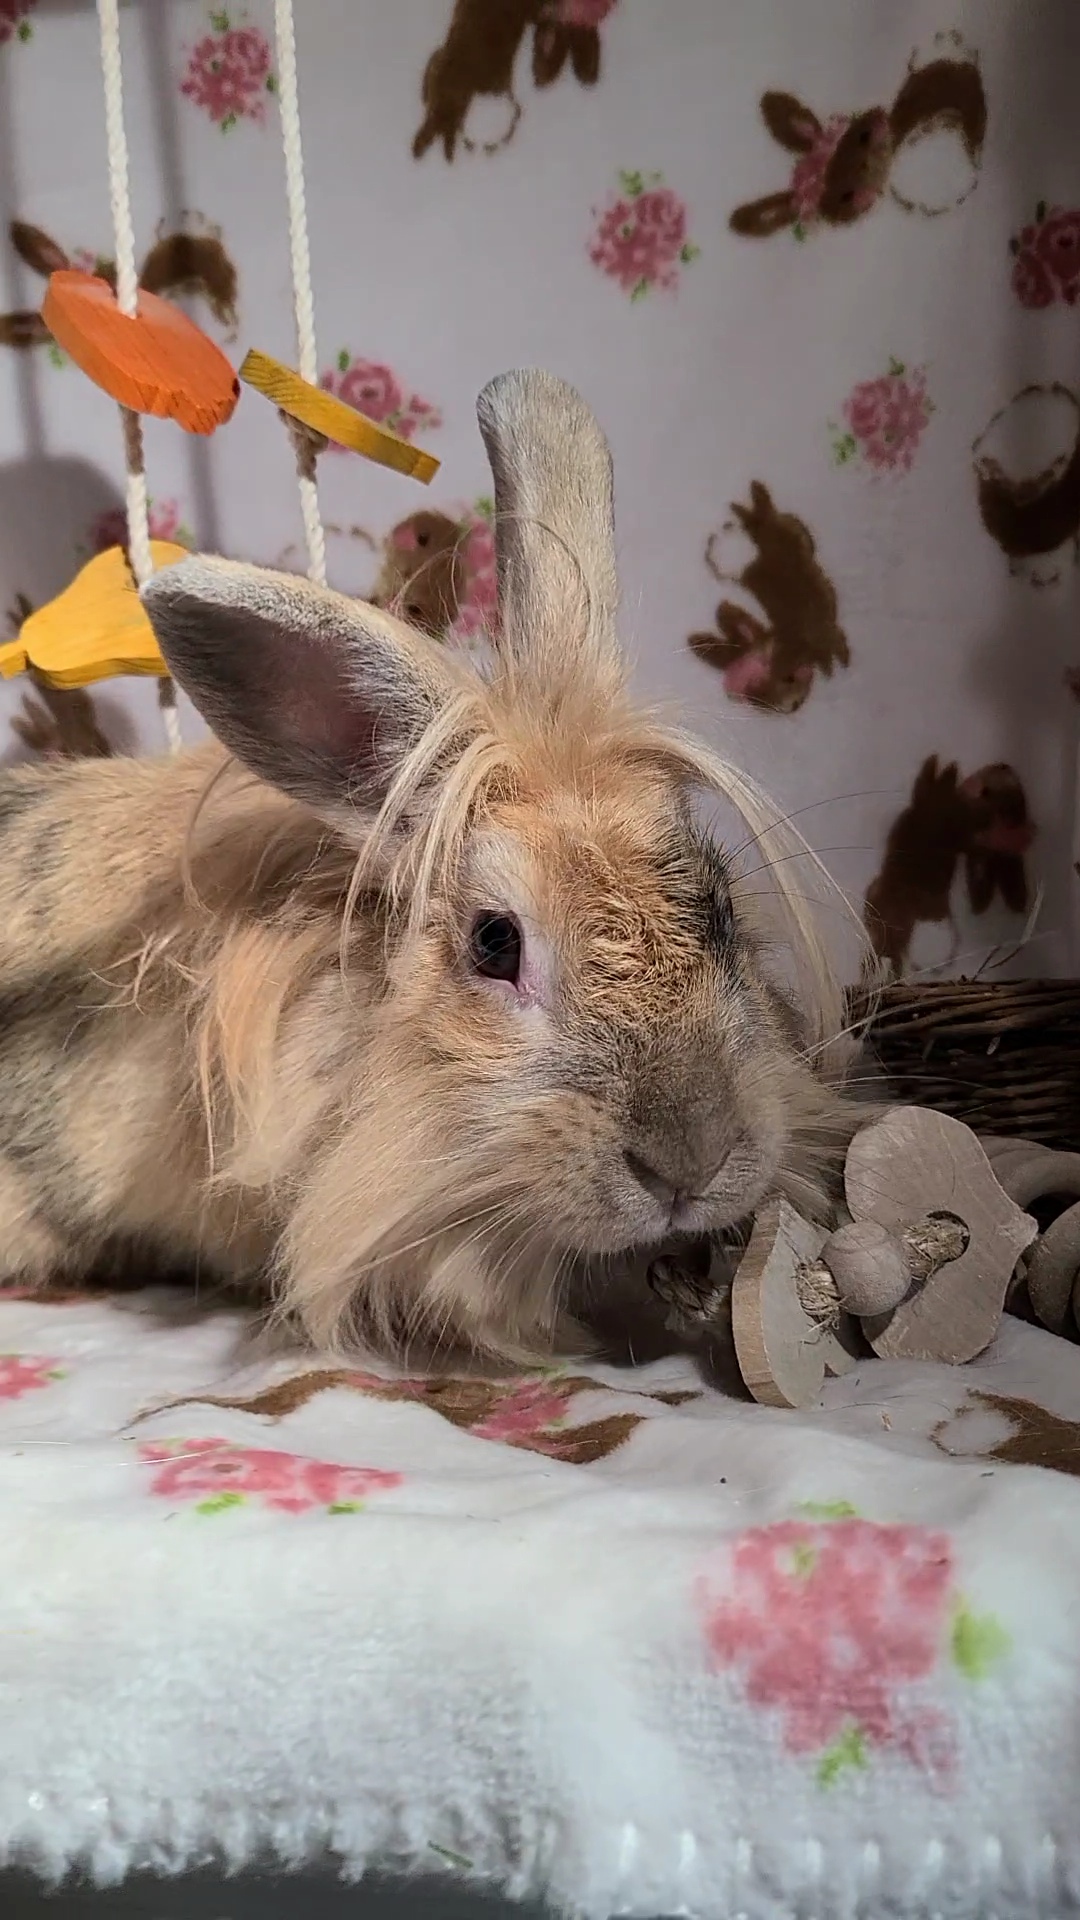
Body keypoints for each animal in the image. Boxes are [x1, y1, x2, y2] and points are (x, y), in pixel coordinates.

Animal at [689, 482, 848, 714]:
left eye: (790, 679)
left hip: (793, 534)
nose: (792, 707)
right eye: (757, 702)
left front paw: (837, 664)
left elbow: (830, 645)